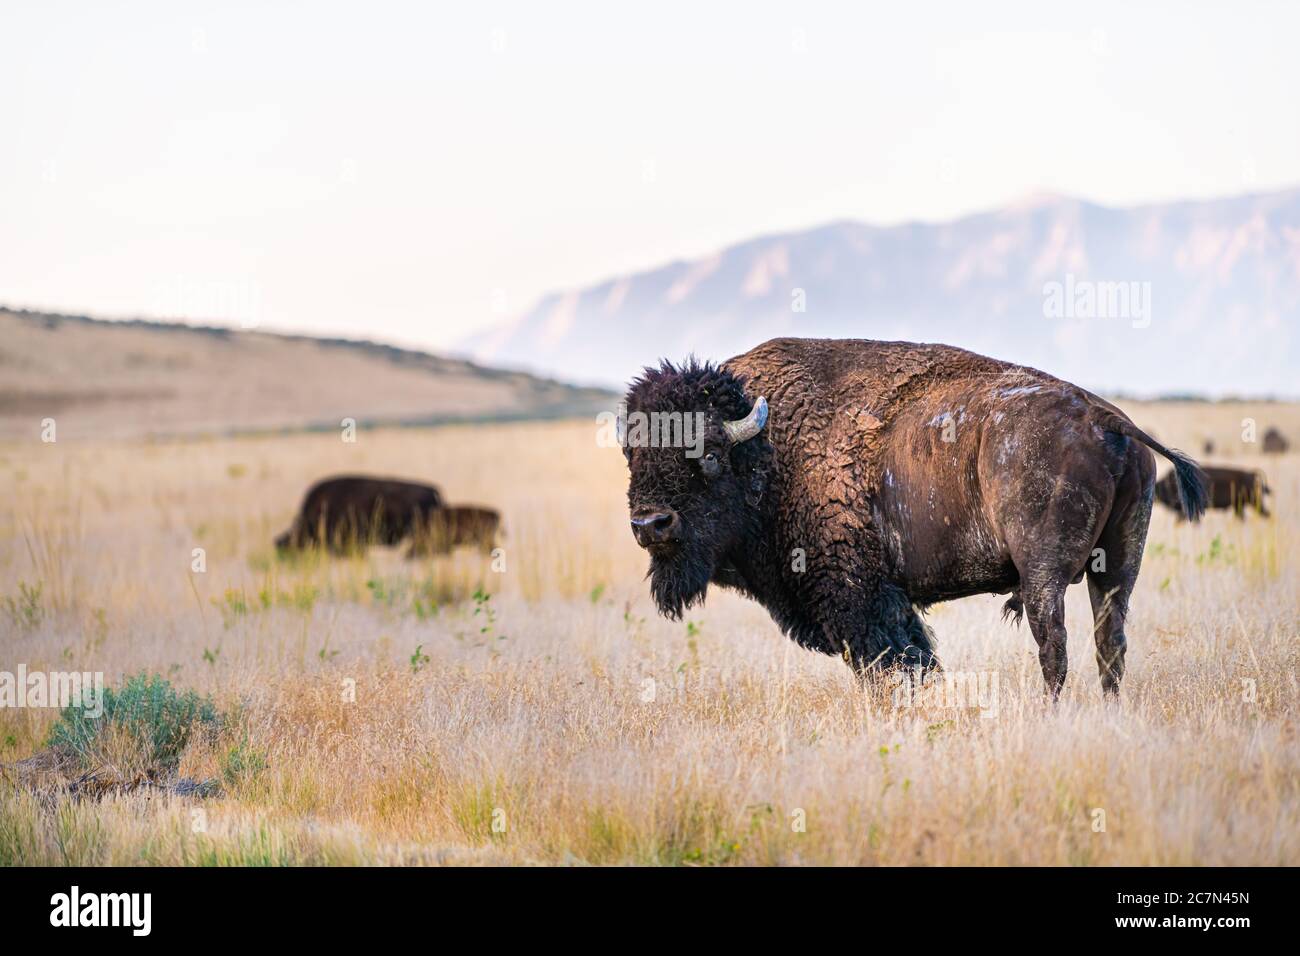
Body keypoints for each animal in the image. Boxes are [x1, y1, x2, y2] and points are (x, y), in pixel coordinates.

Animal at [621, 338, 1207, 698]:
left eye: (709, 455)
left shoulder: (861, 601)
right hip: (1118, 565)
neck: (771, 446)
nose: (651, 525)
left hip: (1044, 574)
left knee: (1054, 646)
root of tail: (1108, 418)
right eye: (633, 455)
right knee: (1111, 644)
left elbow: (896, 665)